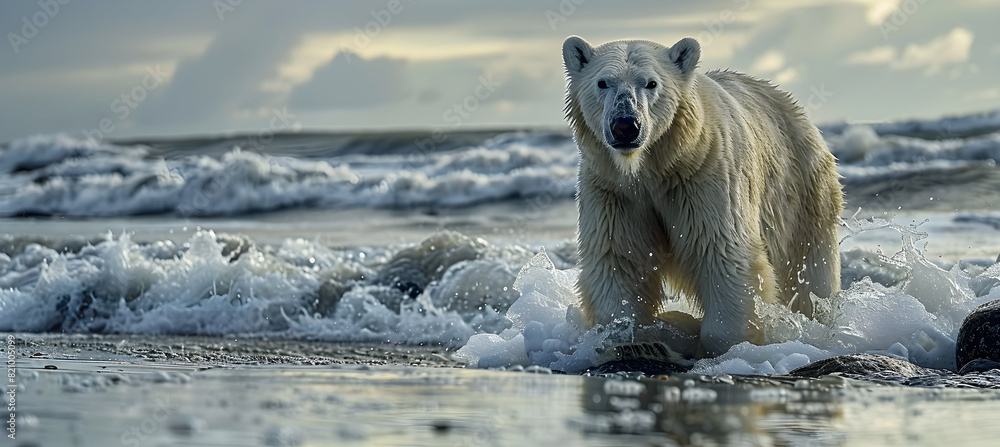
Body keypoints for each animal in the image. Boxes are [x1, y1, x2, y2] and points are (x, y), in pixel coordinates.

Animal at [562, 36, 844, 358]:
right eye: (603, 82)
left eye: (651, 83)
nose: (625, 126)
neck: (652, 168)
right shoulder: (613, 191)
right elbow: (619, 256)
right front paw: (632, 342)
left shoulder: (703, 175)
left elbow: (721, 251)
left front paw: (725, 346)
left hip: (803, 190)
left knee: (808, 271)